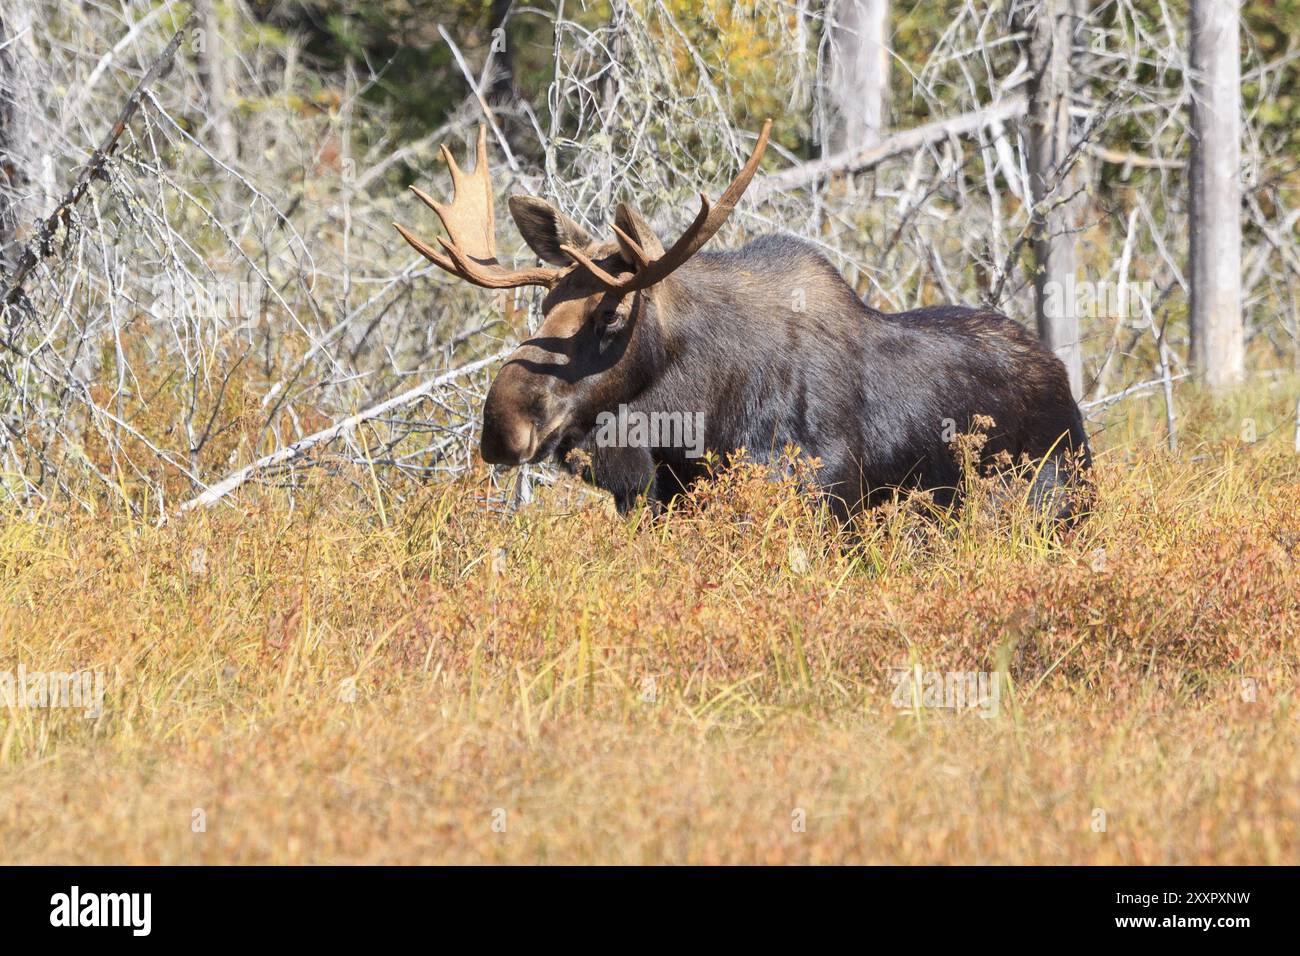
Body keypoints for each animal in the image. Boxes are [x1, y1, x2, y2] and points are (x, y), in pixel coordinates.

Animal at [394, 123, 1091, 523]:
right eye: (544, 308)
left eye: (612, 314)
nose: (502, 423)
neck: (696, 418)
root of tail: (1065, 383)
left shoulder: (825, 503)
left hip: (1056, 500)